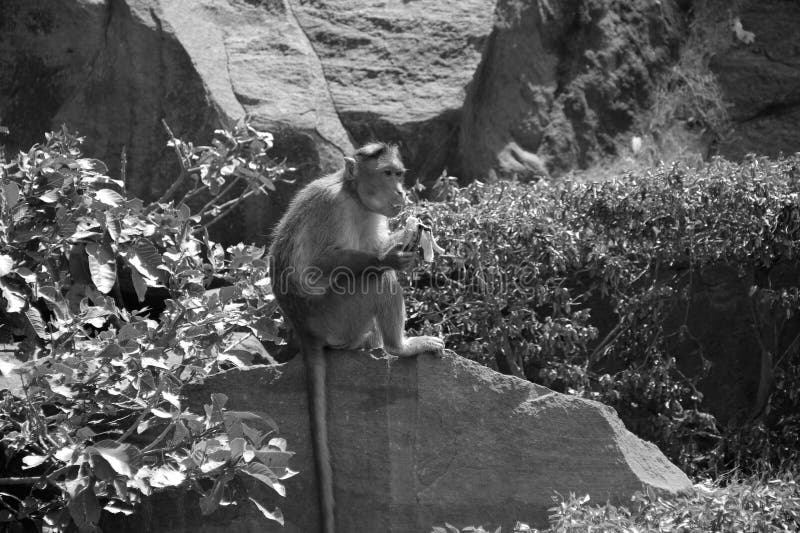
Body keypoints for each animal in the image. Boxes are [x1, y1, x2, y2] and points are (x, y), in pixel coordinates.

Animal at [268, 142, 444, 533]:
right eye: (387, 174)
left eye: (399, 174)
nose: (401, 192)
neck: (353, 195)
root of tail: (303, 330)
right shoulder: (333, 207)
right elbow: (321, 263)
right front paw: (393, 254)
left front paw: (410, 234)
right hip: (337, 316)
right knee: (377, 280)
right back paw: (399, 347)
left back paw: (373, 344)